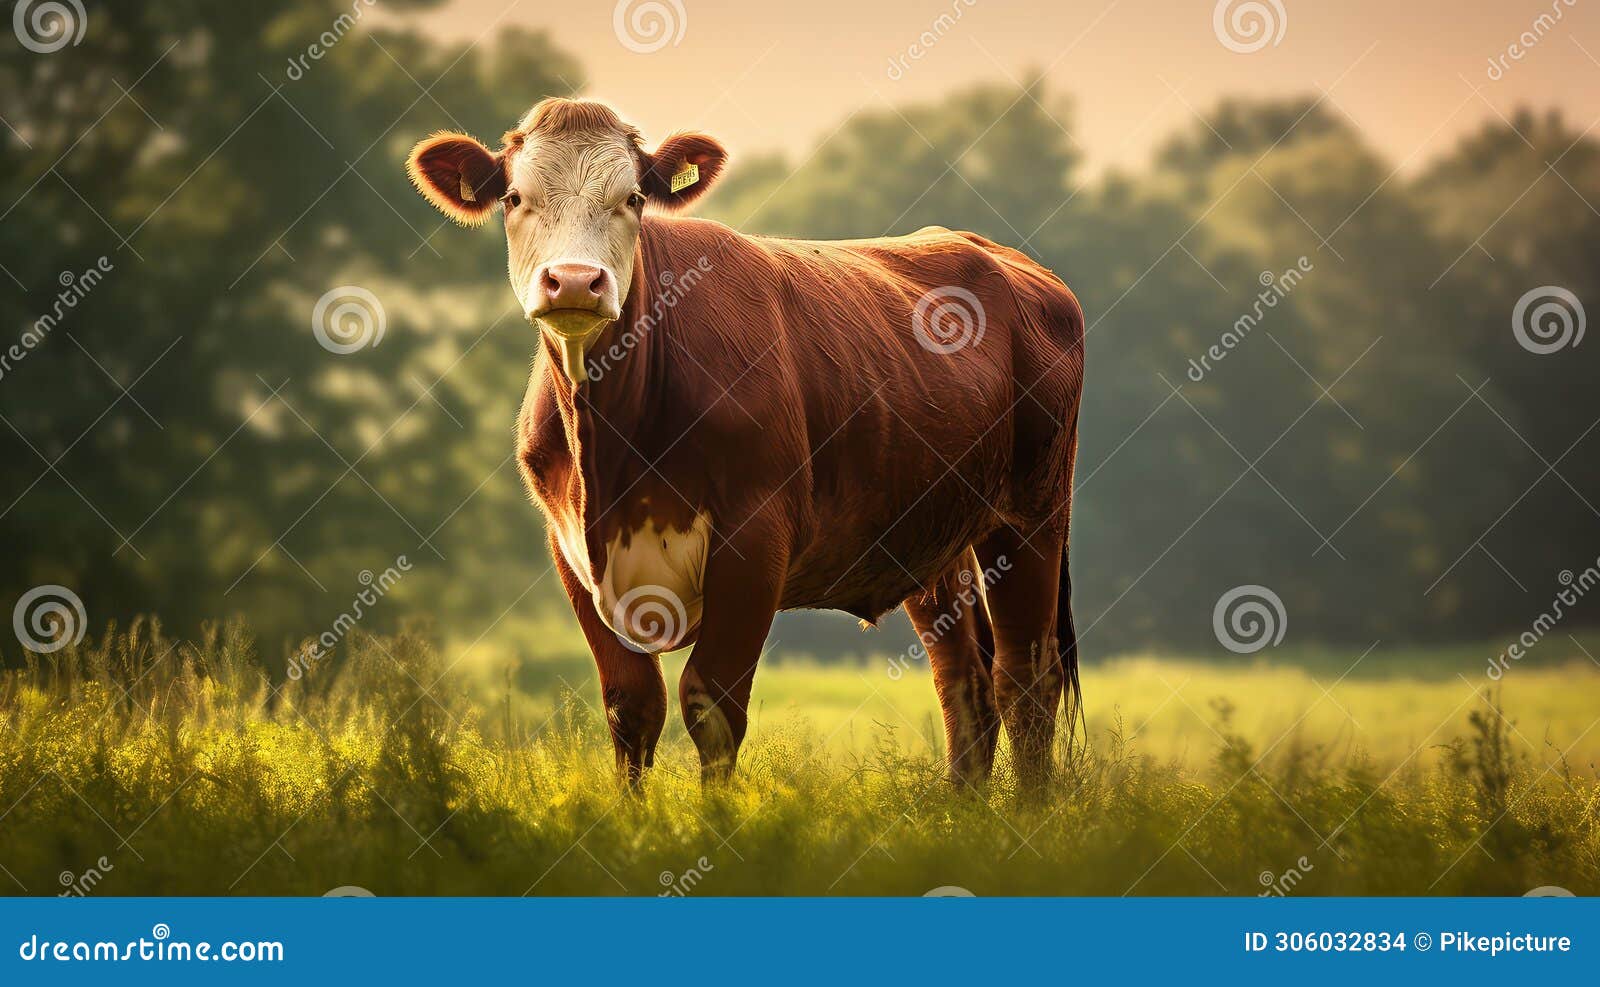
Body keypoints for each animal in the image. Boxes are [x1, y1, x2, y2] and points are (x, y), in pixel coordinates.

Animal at [407, 98, 1084, 790]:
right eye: (515, 197)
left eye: (633, 198)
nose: (573, 282)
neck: (612, 450)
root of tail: (1004, 258)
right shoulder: (571, 549)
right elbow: (631, 706)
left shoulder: (757, 538)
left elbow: (711, 705)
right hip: (935, 530)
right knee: (965, 679)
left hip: (1034, 511)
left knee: (1026, 677)